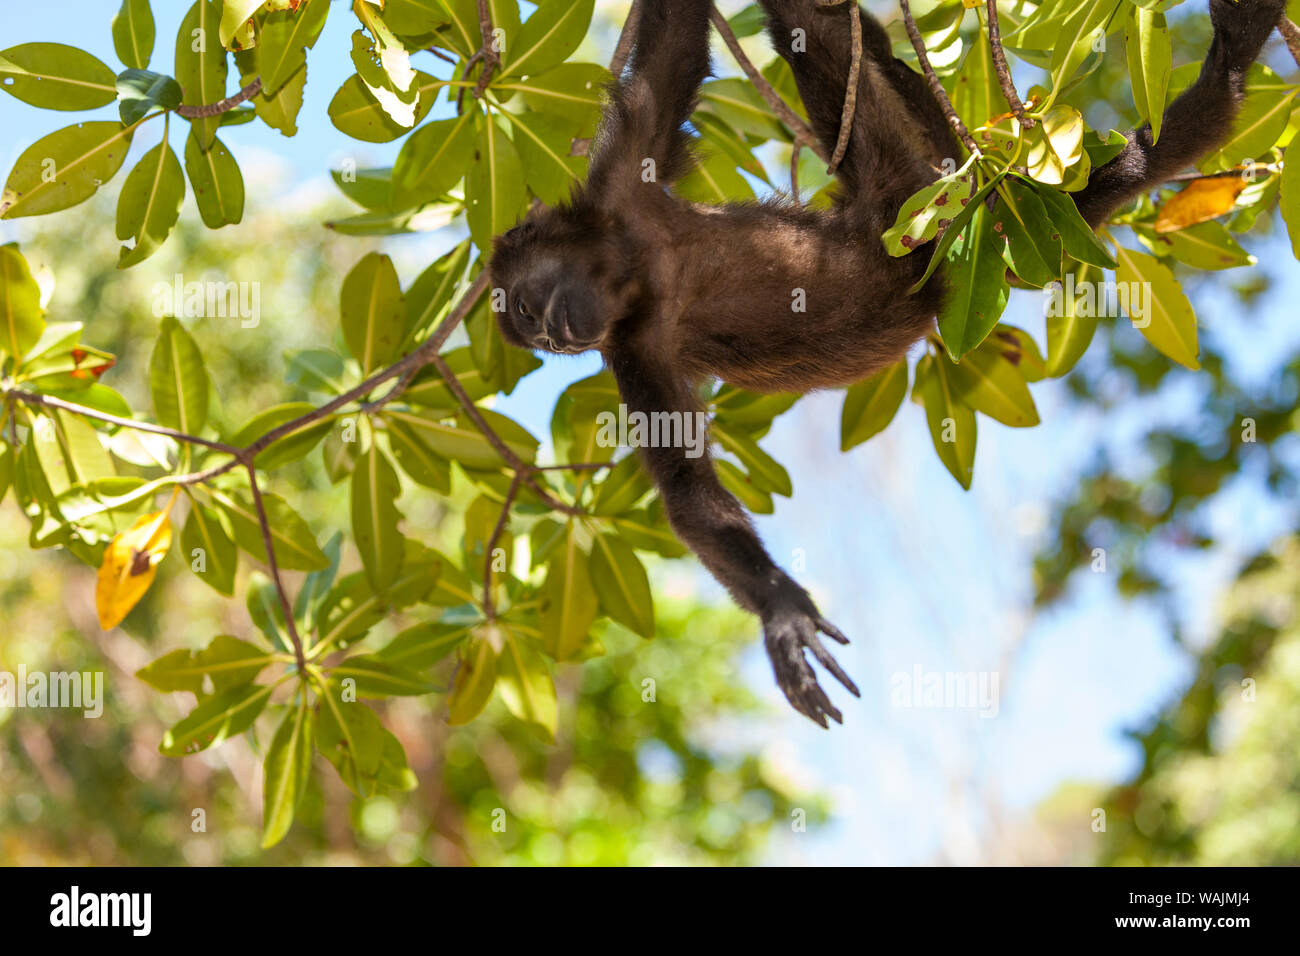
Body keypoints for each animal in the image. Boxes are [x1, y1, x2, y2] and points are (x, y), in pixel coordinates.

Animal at [488, 0, 1287, 726]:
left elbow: (672, 49)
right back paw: (1225, 81)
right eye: (535, 337)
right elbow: (687, 492)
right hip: (967, 225)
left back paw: (1228, 64)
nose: (556, 339)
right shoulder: (631, 347)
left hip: (926, 199)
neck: (638, 271)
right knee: (1115, 183)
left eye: (526, 309)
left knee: (823, 35)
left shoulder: (628, 180)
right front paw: (782, 609)